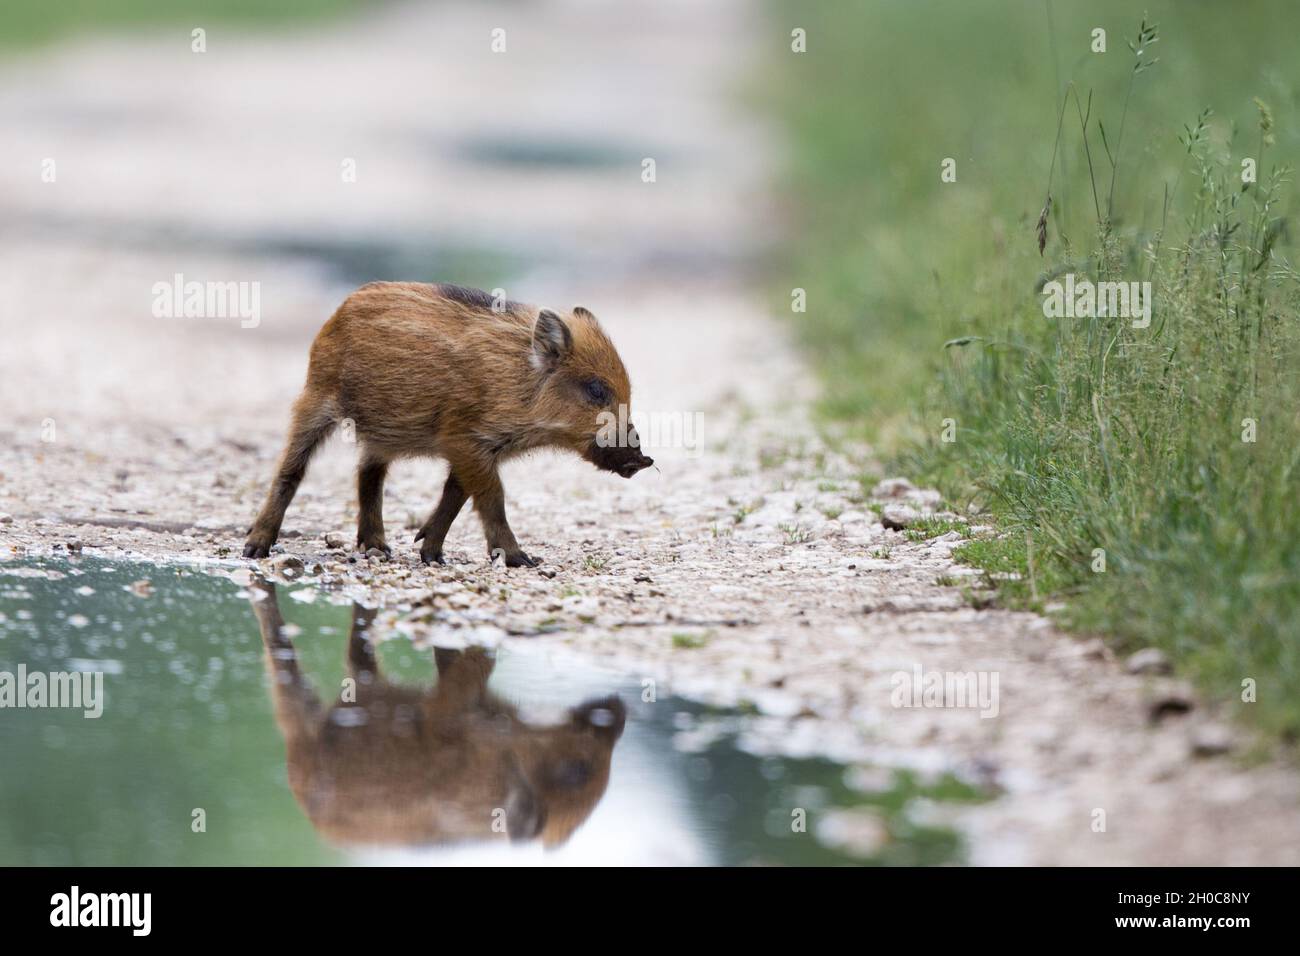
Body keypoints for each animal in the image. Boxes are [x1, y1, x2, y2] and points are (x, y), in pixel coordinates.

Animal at [243, 282, 653, 566]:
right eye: (596, 389)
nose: (642, 460)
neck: (517, 381)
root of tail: (340, 310)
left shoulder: (472, 449)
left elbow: (455, 495)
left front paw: (431, 554)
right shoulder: (465, 441)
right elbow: (490, 498)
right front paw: (521, 559)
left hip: (381, 433)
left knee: (368, 474)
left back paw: (378, 548)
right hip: (314, 399)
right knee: (291, 470)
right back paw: (255, 547)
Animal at [249, 578, 626, 848]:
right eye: (576, 770)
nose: (621, 710)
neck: (498, 760)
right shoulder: (450, 706)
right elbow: (477, 661)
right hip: (303, 707)